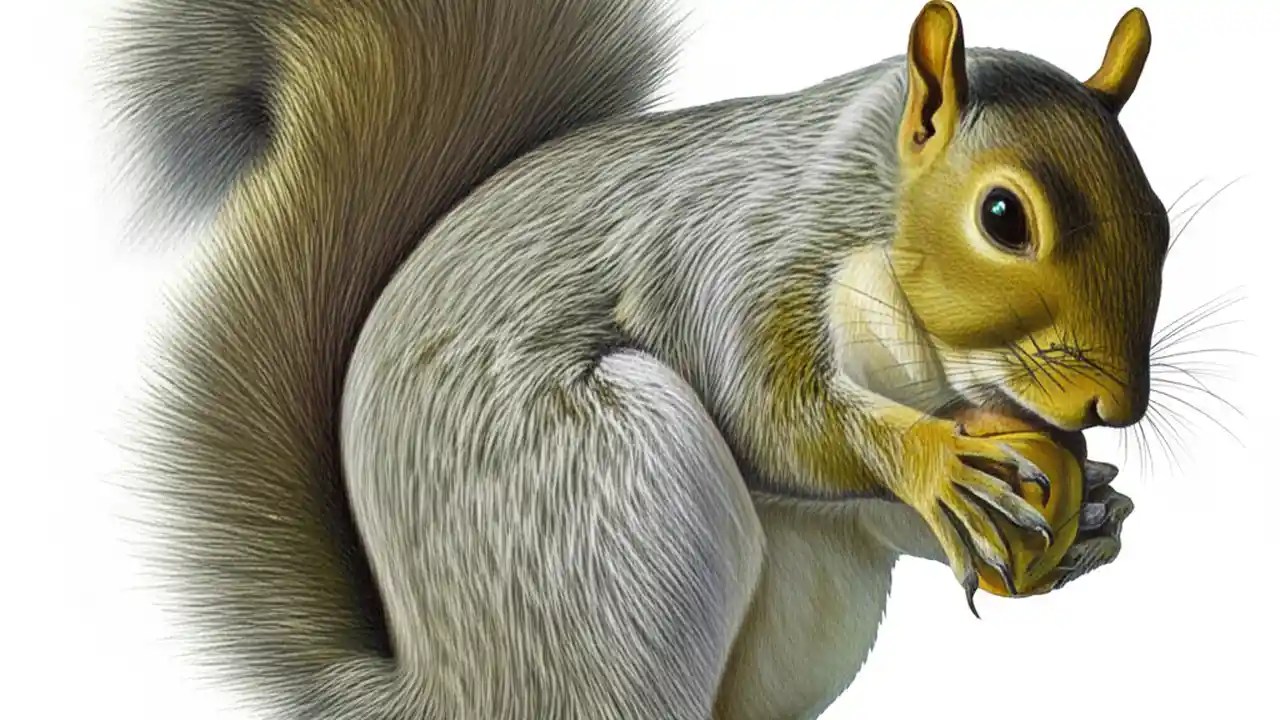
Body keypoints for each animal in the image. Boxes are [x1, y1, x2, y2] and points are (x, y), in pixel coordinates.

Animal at [102, 0, 1160, 718]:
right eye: (1003, 215)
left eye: (1159, 217)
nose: (1113, 407)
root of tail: (446, 690)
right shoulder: (737, 253)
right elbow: (772, 411)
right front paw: (938, 464)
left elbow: (876, 512)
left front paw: (1095, 512)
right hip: (614, 504)